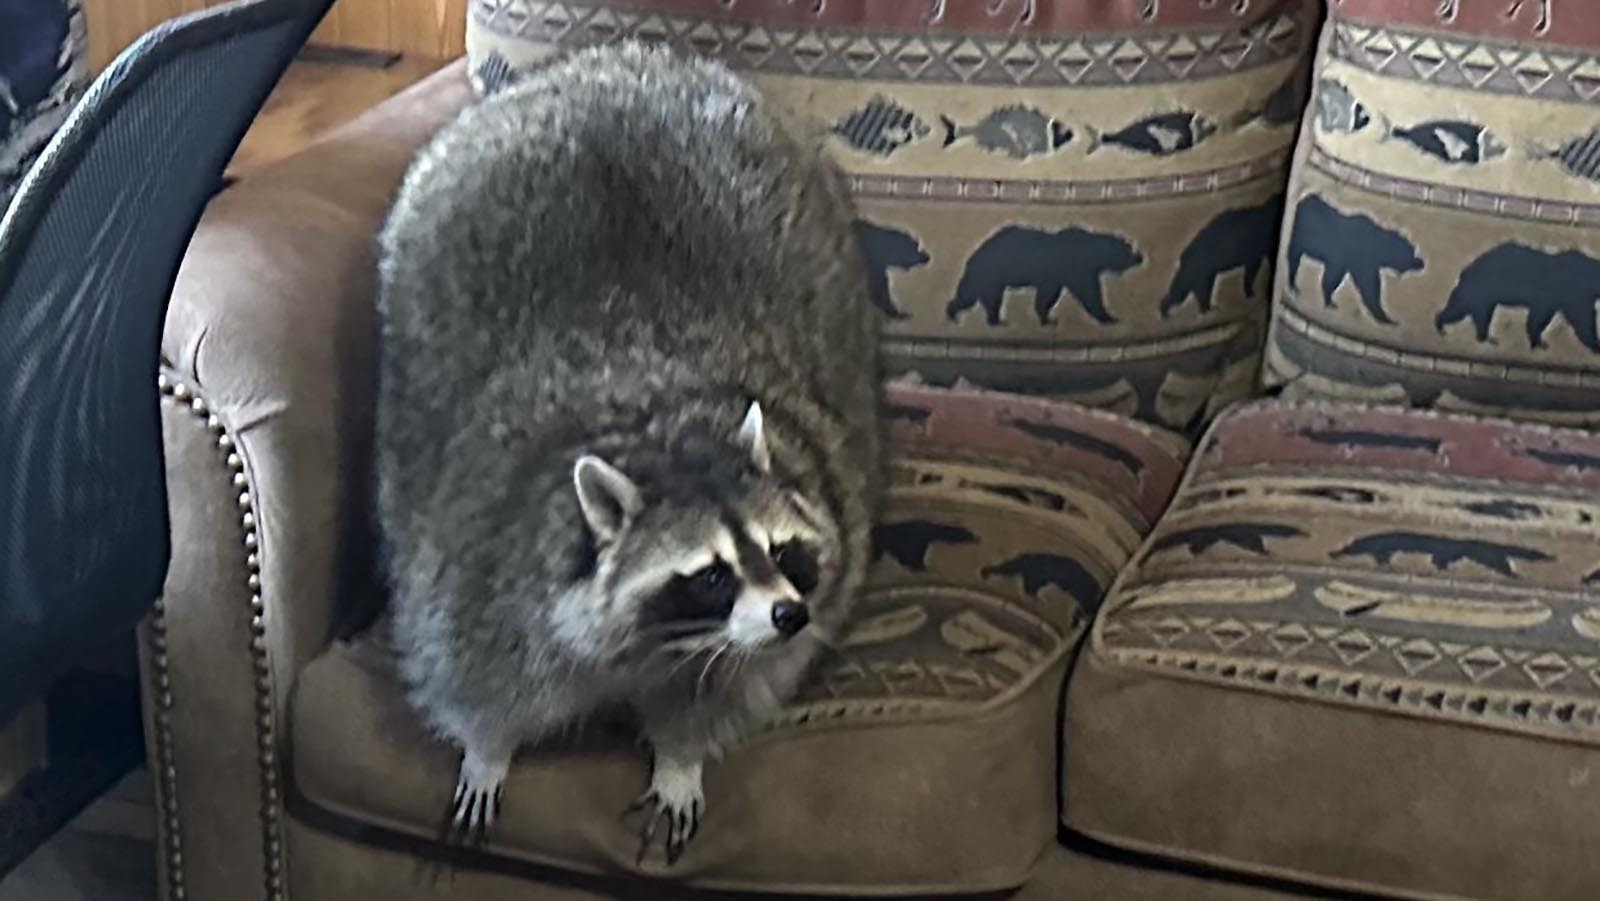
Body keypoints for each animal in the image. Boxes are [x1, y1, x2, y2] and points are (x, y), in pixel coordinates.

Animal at [374, 42, 884, 864]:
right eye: (711, 574)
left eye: (783, 550)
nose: (790, 613)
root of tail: (610, 64)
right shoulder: (483, 572)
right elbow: (471, 676)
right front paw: (486, 749)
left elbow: (725, 692)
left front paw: (680, 757)